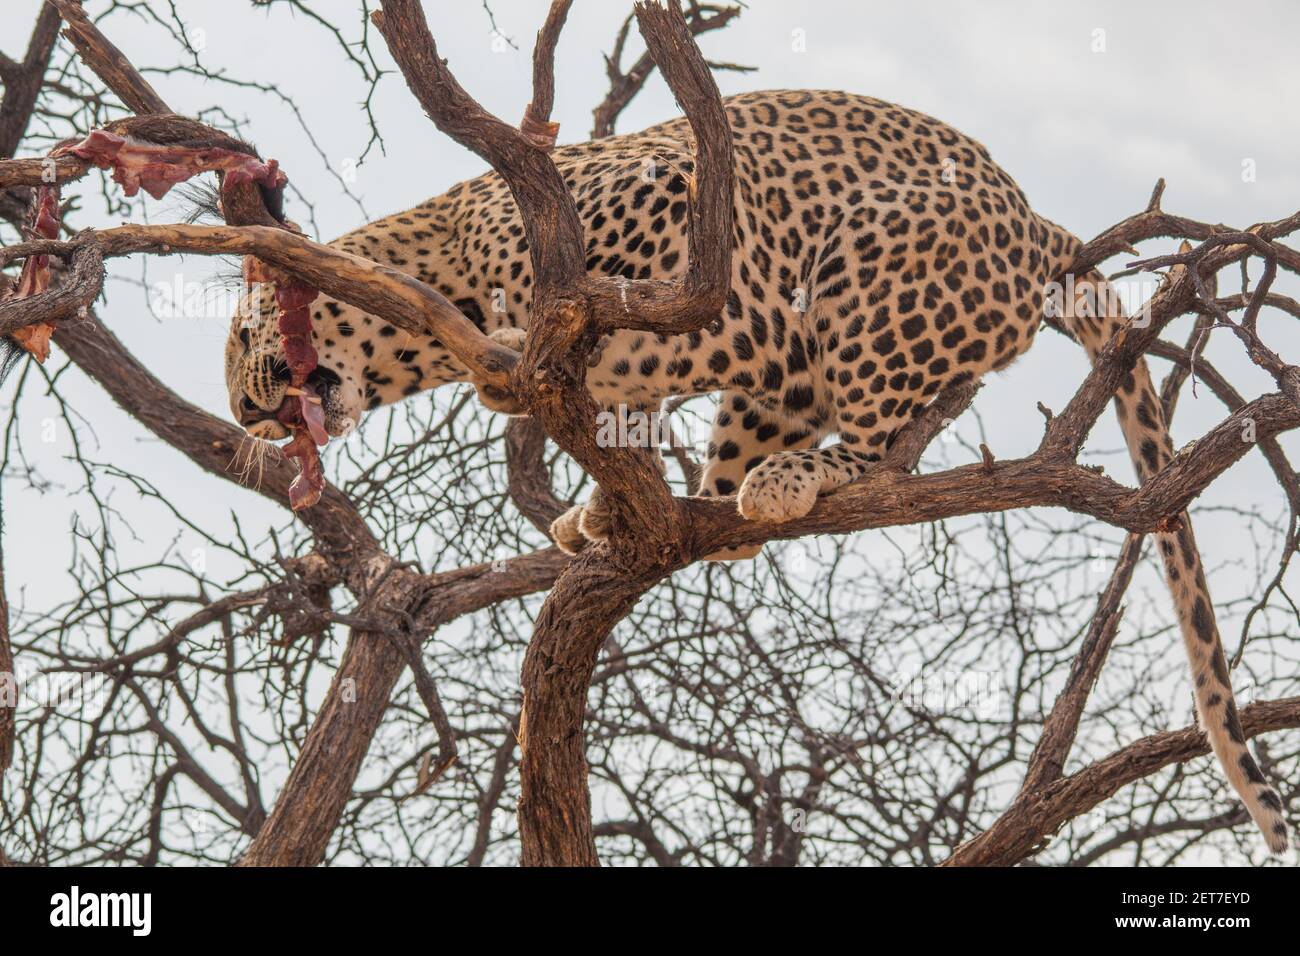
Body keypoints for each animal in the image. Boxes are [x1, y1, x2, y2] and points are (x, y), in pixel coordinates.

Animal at [223, 90, 1289, 852]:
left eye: (238, 338)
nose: (239, 417)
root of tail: (1037, 225)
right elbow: (620, 395)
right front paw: (601, 504)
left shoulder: (667, 209)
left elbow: (614, 307)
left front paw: (535, 354)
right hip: (785, 373)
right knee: (751, 469)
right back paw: (696, 506)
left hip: (863, 268)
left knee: (874, 436)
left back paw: (794, 478)